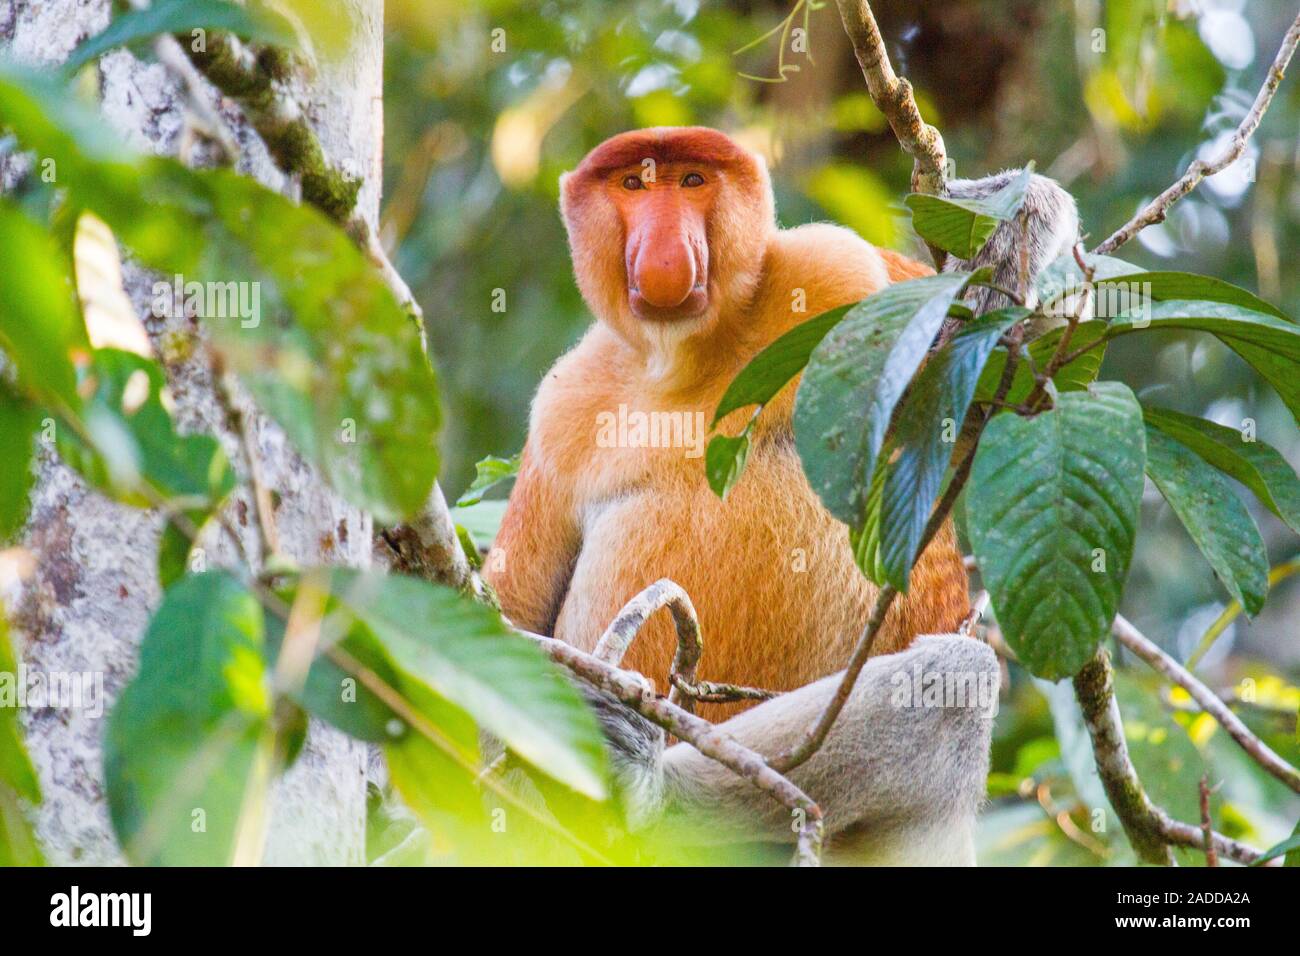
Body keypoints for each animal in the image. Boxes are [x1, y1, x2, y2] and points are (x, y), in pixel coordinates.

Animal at [484, 127, 1078, 862]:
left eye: (691, 181)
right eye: (632, 185)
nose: (664, 249)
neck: (685, 360)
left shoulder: (838, 268)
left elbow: (997, 378)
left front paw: (1003, 209)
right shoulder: (560, 410)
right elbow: (508, 613)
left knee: (954, 681)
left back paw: (644, 788)